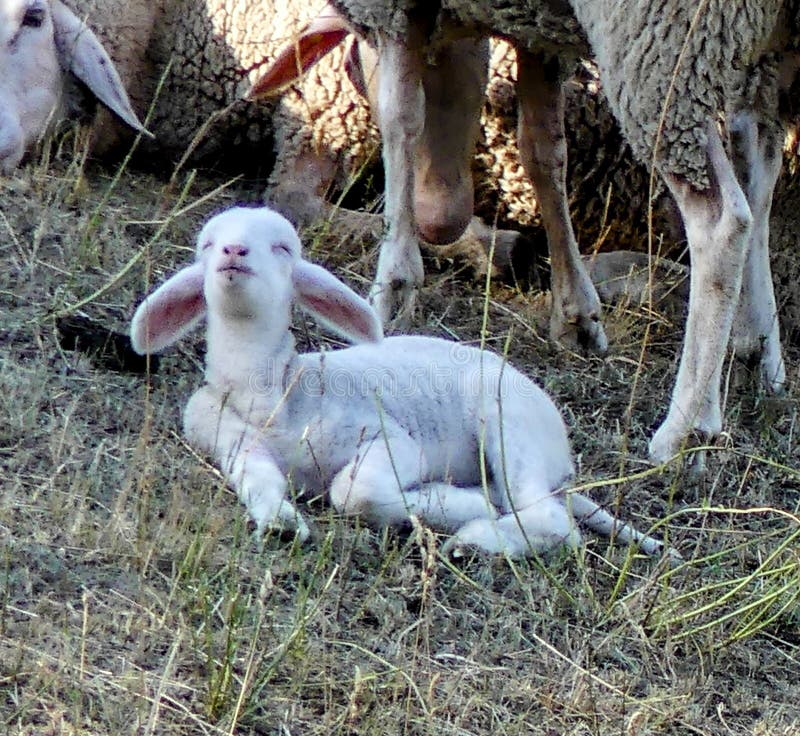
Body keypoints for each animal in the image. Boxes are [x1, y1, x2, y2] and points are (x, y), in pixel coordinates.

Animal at [129, 205, 679, 561]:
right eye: (206, 244)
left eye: (283, 247)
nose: (234, 251)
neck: (275, 390)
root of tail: (561, 462)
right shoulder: (229, 441)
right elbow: (260, 482)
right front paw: (282, 523)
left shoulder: (390, 439)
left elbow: (351, 492)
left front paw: (454, 503)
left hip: (511, 425)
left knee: (551, 520)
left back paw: (475, 539)